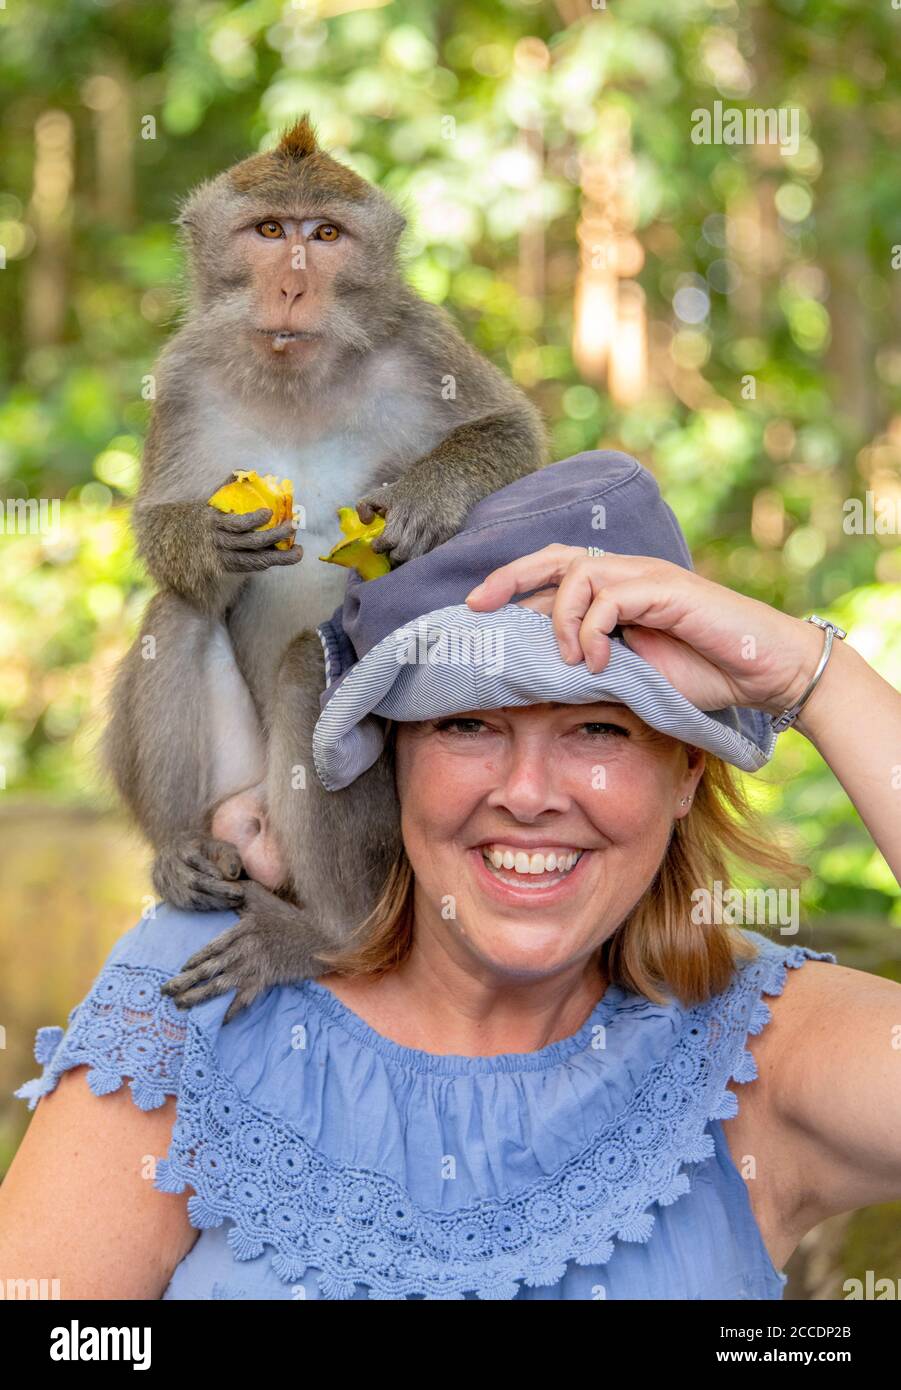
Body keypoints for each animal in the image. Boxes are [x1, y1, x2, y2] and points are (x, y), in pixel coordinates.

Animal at [103, 116, 547, 1020]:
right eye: (272, 232)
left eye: (327, 236)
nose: (294, 287)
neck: (295, 377)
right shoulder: (183, 374)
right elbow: (159, 526)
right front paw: (207, 542)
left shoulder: (418, 339)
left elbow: (512, 438)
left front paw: (424, 500)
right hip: (238, 801)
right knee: (178, 612)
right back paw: (180, 853)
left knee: (311, 663)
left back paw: (324, 939)